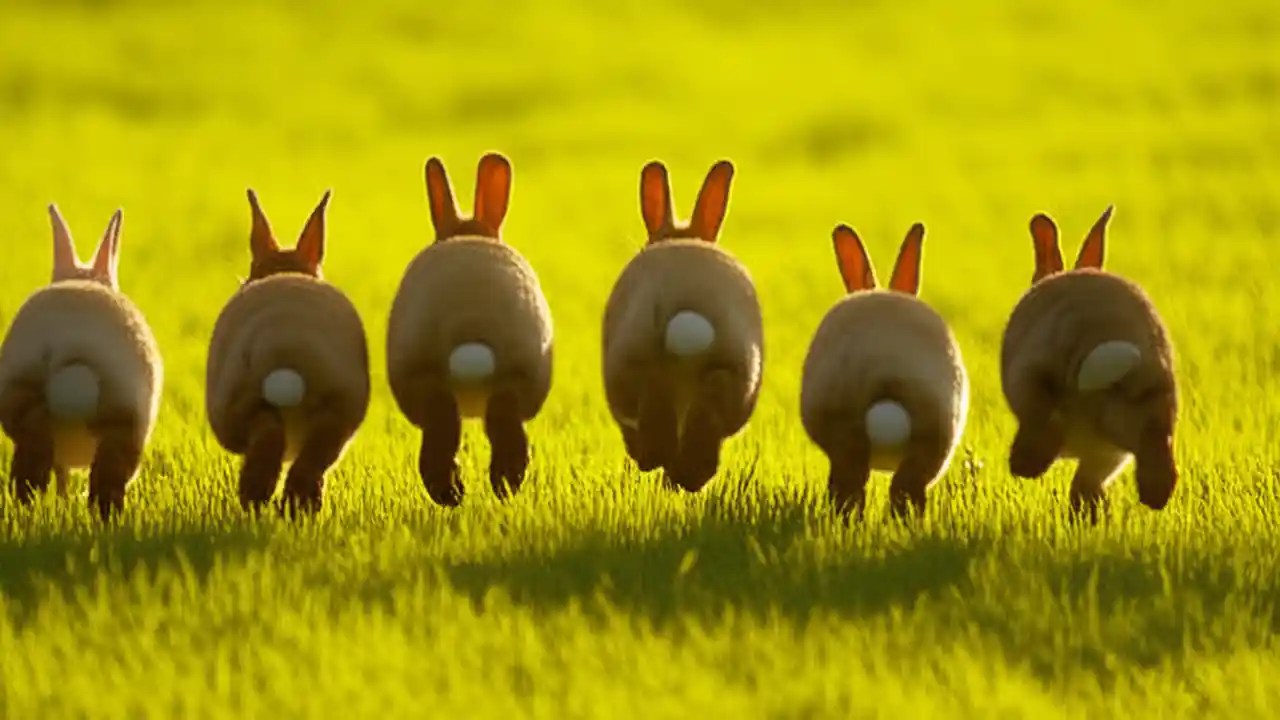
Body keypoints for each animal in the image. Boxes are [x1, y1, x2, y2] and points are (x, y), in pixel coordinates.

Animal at [0, 204, 163, 520]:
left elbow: (62, 476)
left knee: (31, 474)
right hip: (125, 422)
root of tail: (72, 345)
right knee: (106, 483)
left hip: (27, 404)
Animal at [205, 189, 370, 514]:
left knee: (267, 438)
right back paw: (297, 506)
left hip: (238, 403)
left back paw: (258, 502)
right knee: (312, 457)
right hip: (339, 409)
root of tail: (287, 347)